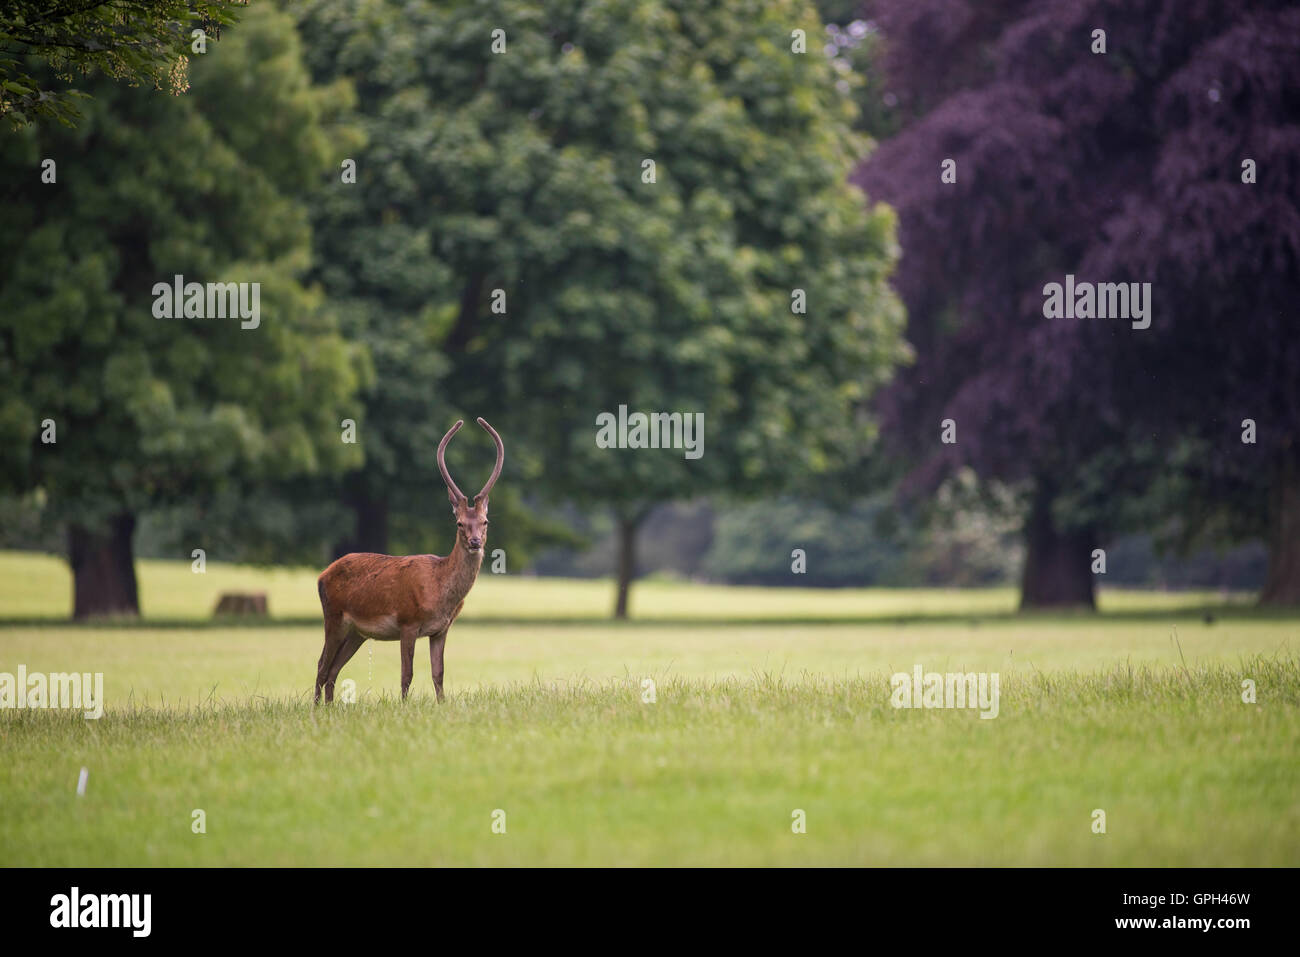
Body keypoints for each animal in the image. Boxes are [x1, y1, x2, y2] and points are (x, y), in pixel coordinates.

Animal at [314, 417, 503, 704]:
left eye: (485, 521)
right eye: (459, 523)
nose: (475, 542)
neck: (440, 591)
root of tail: (321, 576)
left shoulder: (441, 629)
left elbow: (438, 673)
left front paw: (442, 704)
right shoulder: (408, 621)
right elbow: (407, 674)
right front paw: (403, 707)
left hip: (357, 632)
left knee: (334, 668)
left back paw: (330, 707)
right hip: (333, 616)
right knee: (322, 665)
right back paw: (316, 708)